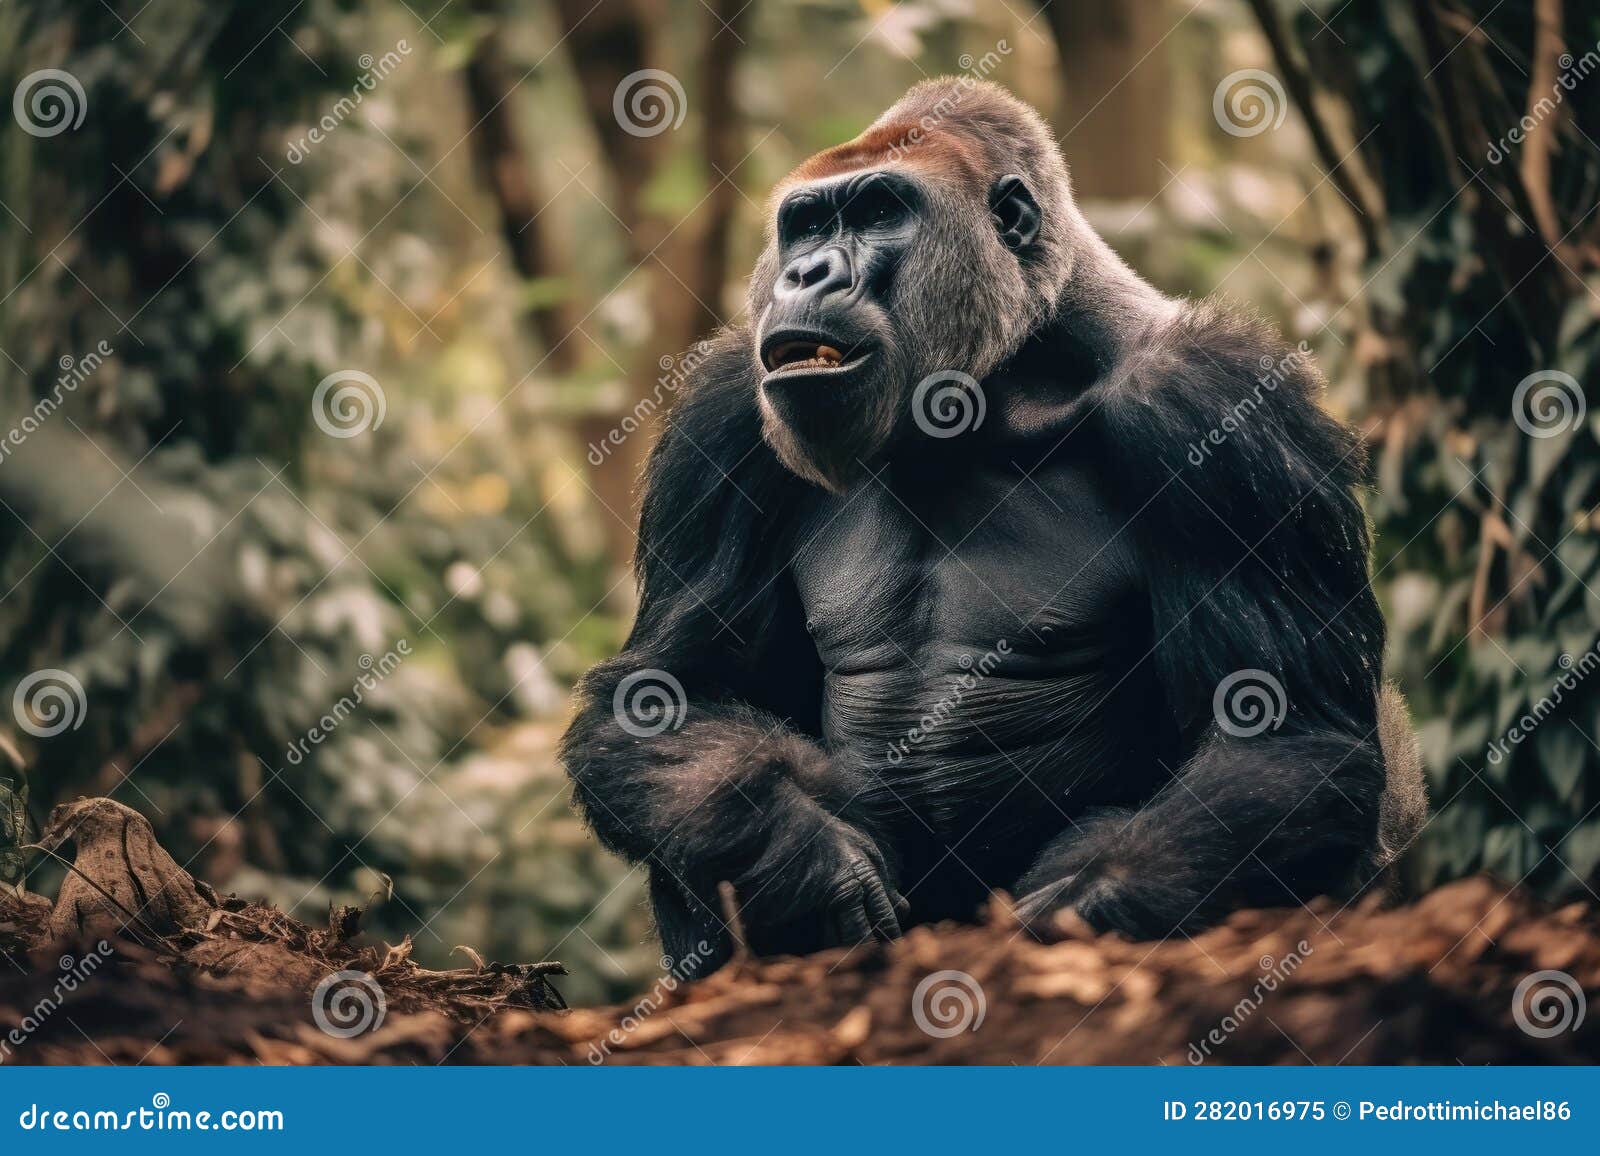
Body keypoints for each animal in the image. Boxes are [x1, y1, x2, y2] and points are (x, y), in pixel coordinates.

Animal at [560, 79, 1426, 976]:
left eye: (878, 210)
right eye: (805, 225)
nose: (805, 272)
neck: (1006, 380)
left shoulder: (1217, 400)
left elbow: (1287, 734)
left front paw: (1082, 904)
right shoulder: (726, 413)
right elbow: (672, 692)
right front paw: (798, 855)